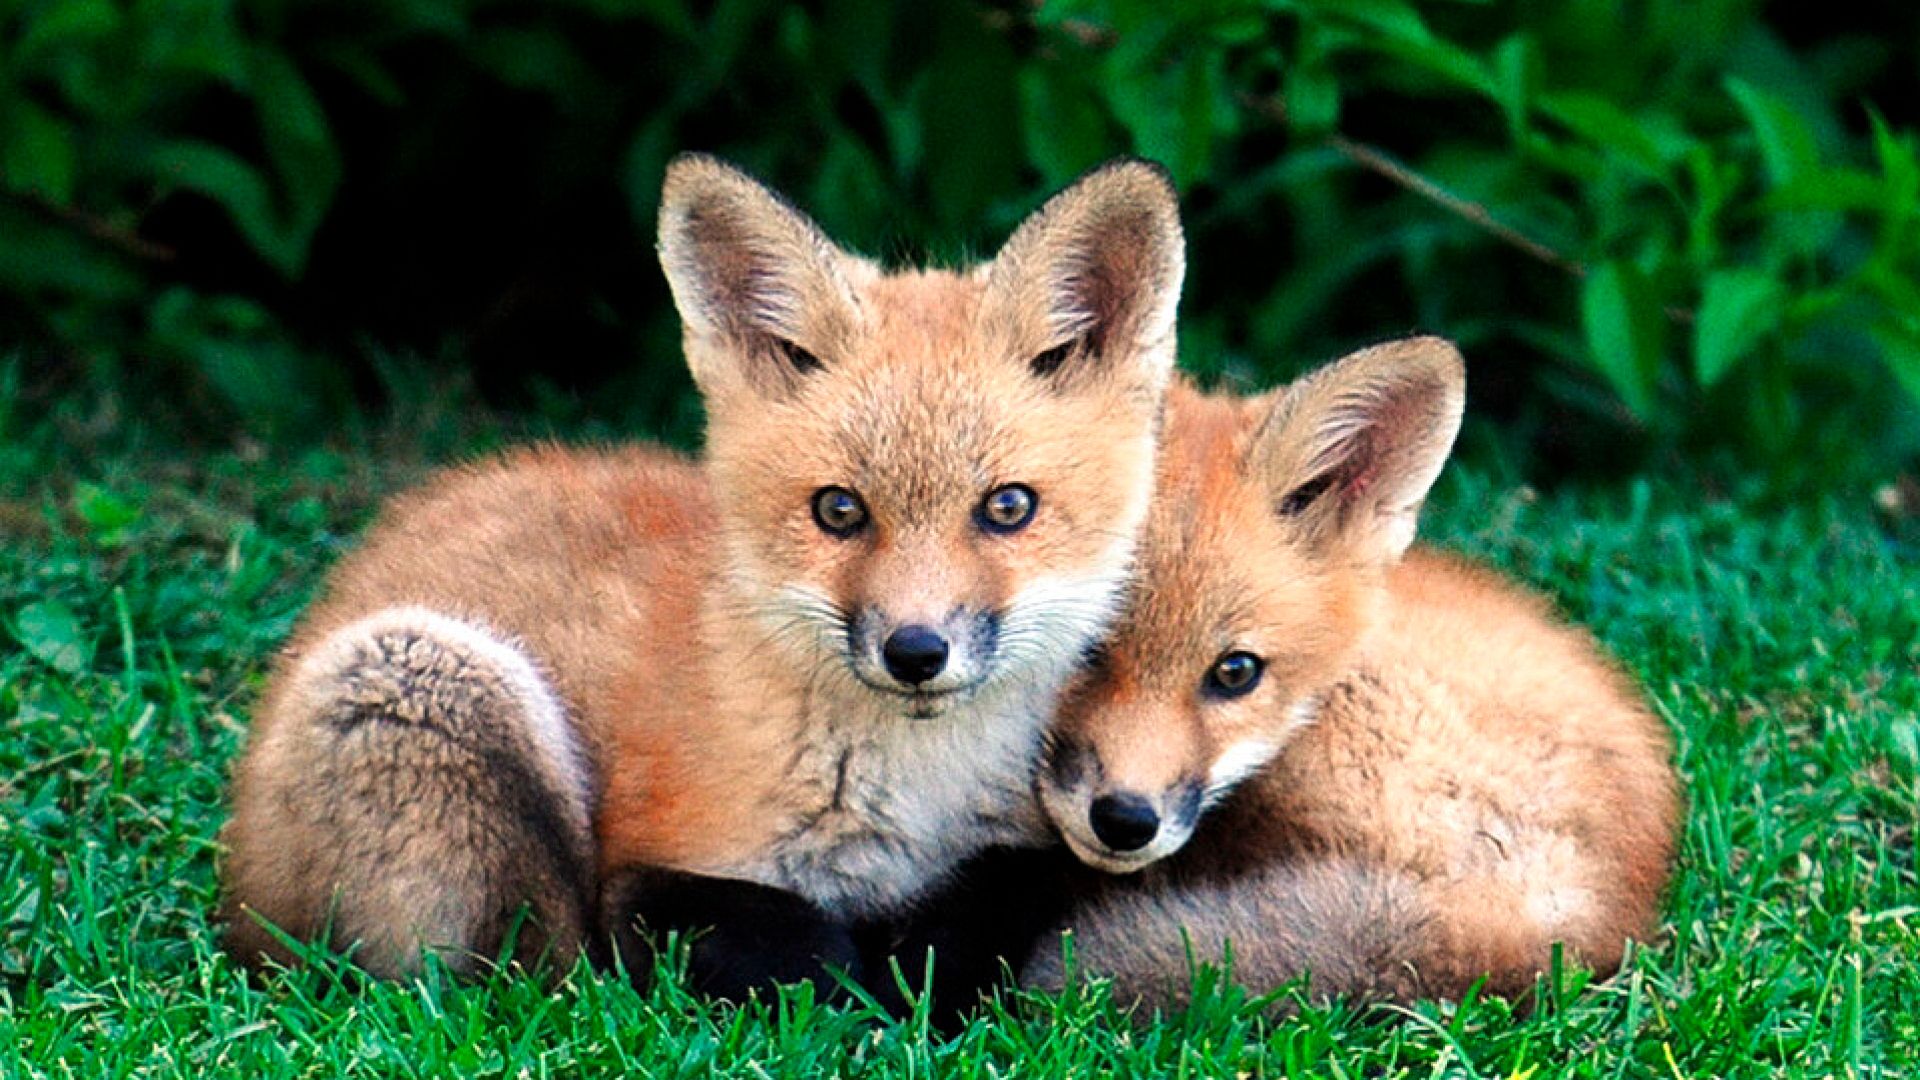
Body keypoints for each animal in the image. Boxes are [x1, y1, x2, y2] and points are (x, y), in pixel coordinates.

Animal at [220, 154, 1187, 980]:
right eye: (839, 511)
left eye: (1007, 508)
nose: (916, 652)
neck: (906, 802)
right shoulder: (651, 871)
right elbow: (814, 957)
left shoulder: (1014, 854)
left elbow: (962, 934)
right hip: (426, 675)